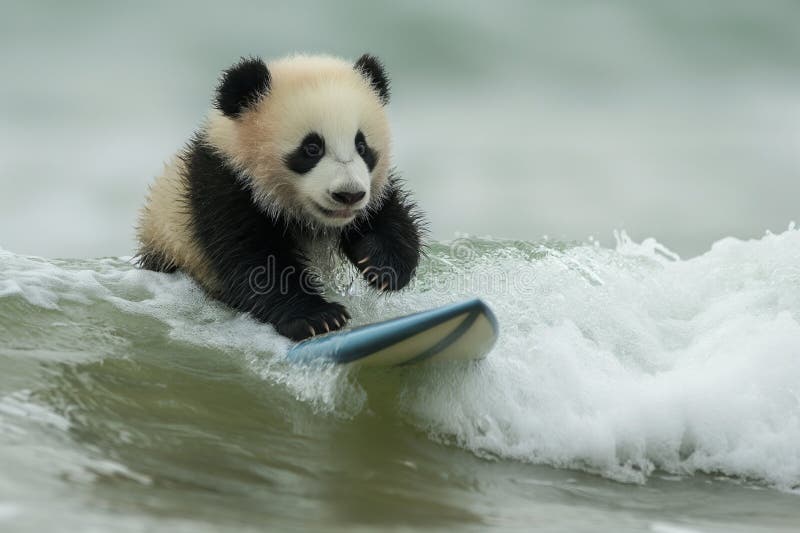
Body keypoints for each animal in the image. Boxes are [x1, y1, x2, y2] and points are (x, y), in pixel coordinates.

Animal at [136, 54, 424, 341]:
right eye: (312, 148)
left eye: (362, 146)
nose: (348, 194)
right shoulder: (223, 187)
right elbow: (255, 263)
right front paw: (317, 317)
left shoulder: (374, 191)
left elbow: (390, 216)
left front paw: (383, 267)